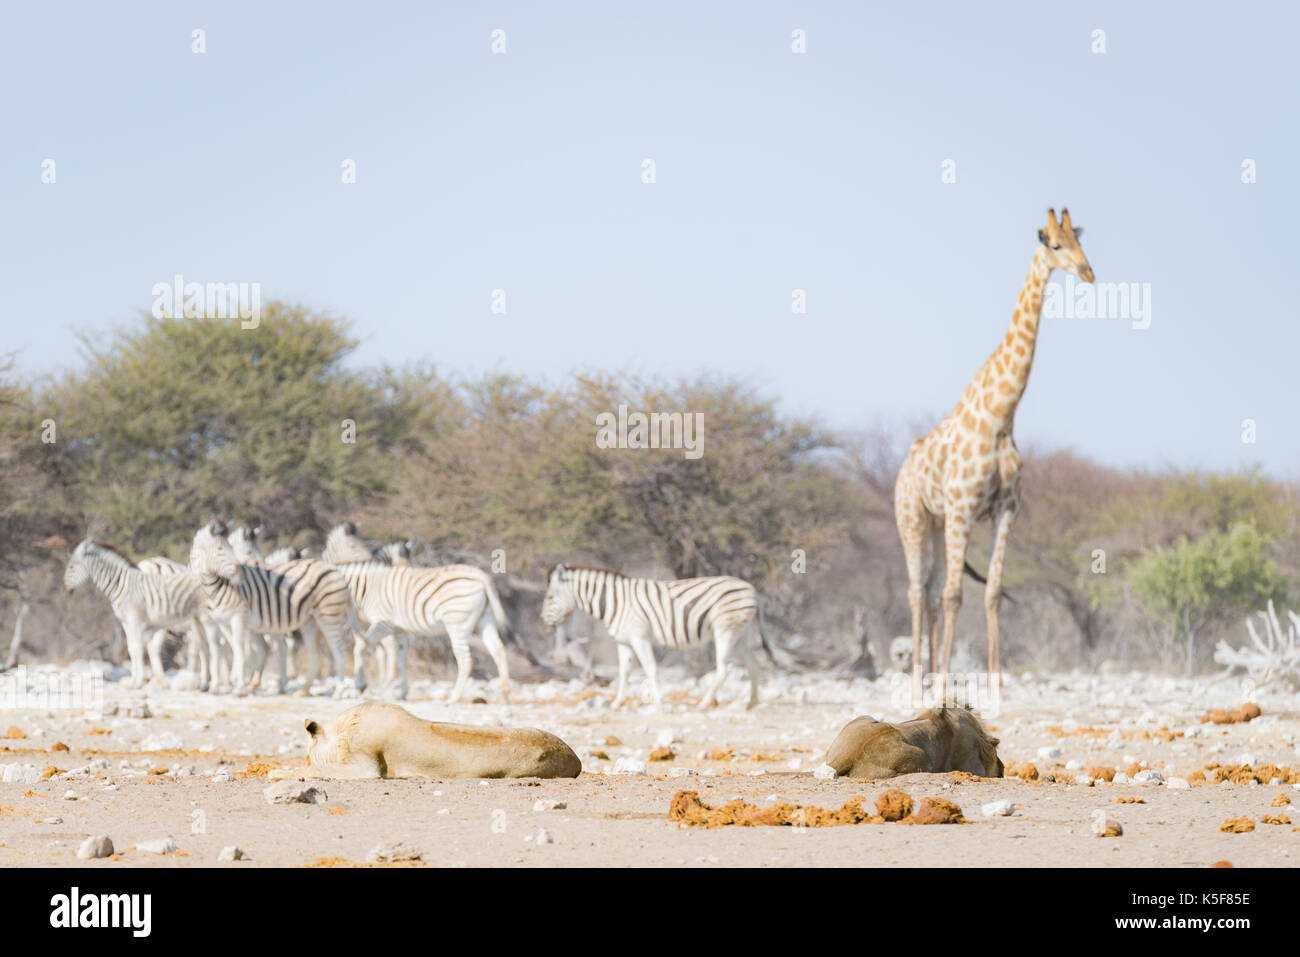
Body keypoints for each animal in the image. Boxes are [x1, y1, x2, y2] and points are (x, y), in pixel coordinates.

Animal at [894, 208, 1094, 704]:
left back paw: (929, 676)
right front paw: (947, 680)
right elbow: (954, 596)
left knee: (930, 589)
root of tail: (902, 470)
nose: (1088, 272)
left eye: (1080, 242)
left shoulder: (1006, 510)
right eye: (1055, 245)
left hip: (937, 523)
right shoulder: (964, 509)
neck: (1001, 416)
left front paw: (998, 684)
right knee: (917, 590)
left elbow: (992, 592)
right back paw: (918, 681)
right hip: (914, 519)